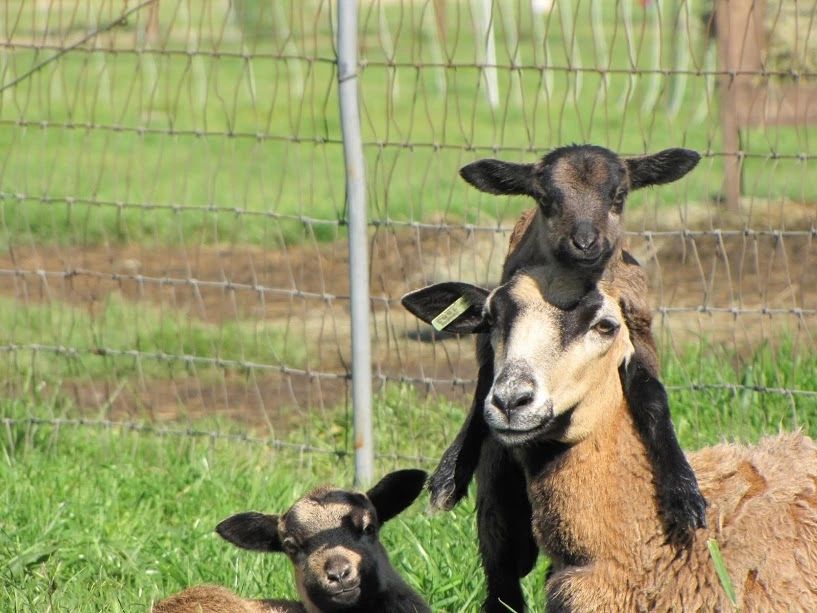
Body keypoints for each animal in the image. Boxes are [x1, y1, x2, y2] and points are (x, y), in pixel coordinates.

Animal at [405, 144, 704, 611]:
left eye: (620, 196)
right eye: (546, 200)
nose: (585, 242)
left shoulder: (637, 331)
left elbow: (654, 399)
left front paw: (682, 492)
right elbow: (481, 385)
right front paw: (449, 471)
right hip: (502, 516)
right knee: (504, 582)